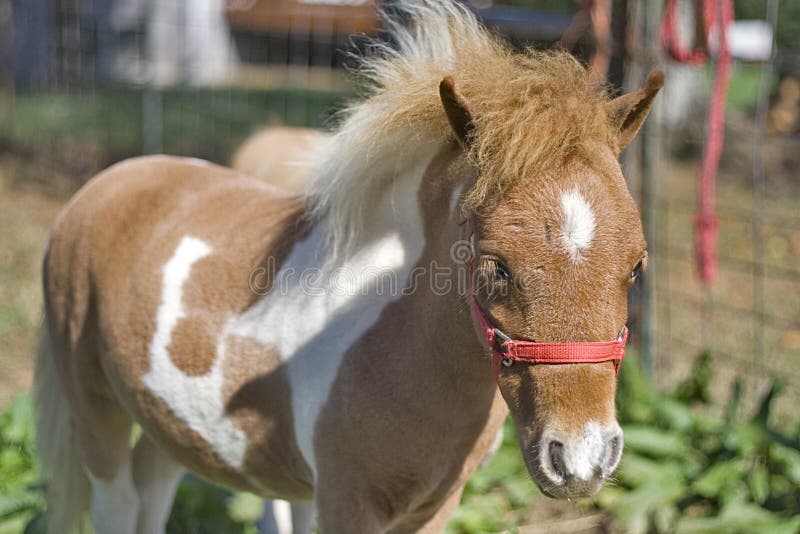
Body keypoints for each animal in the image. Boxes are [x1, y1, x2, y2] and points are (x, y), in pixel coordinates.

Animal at [35, 1, 662, 532]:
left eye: (636, 267)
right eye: (494, 265)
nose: (580, 459)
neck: (397, 349)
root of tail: (103, 185)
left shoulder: (436, 506)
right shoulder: (343, 502)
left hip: (167, 425)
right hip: (97, 415)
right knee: (118, 503)